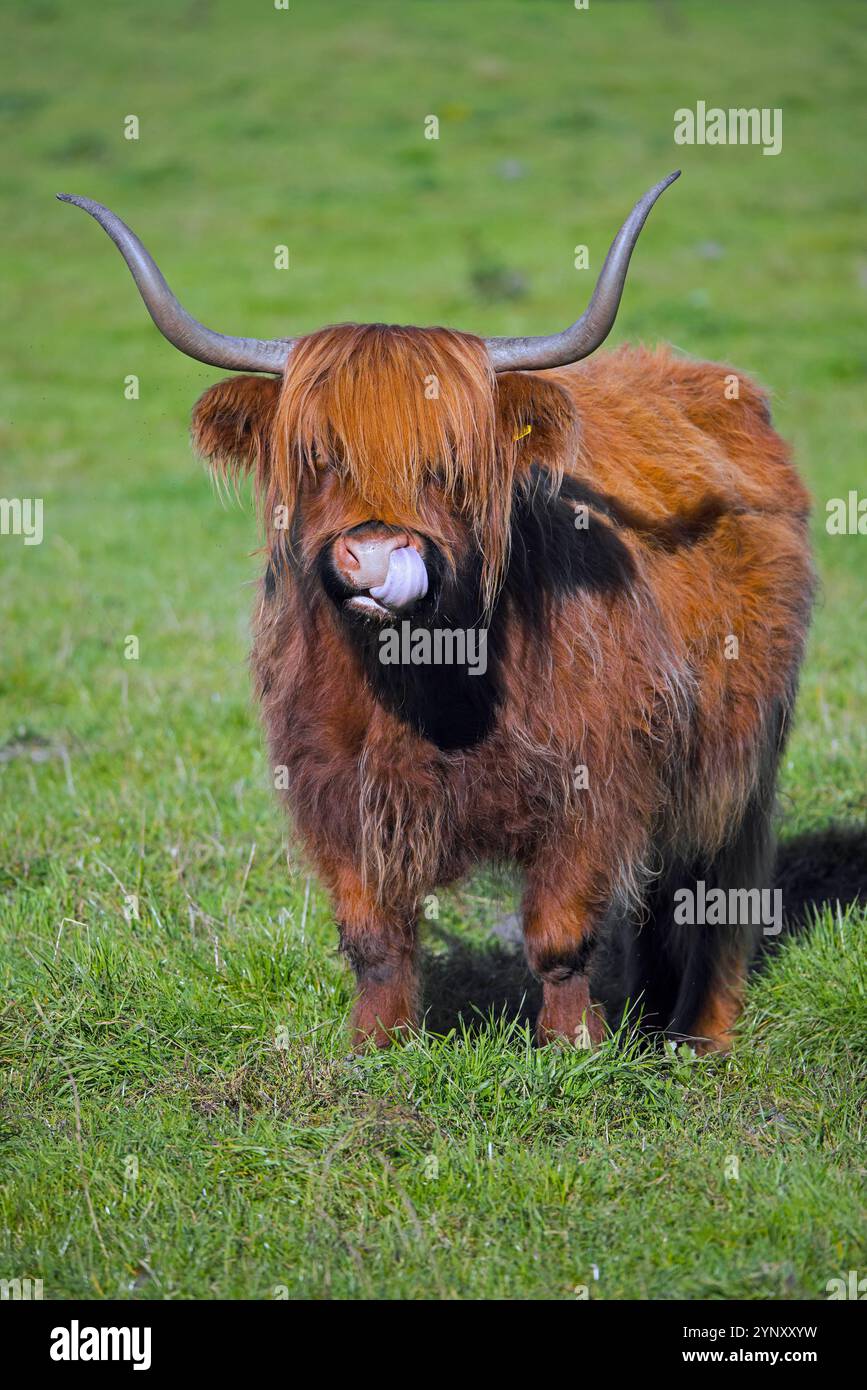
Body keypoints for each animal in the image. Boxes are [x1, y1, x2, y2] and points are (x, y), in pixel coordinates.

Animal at [59, 173, 814, 1053]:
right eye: (318, 456)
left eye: (447, 464)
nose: (374, 554)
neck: (426, 685)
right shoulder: (332, 785)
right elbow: (373, 934)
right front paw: (373, 1045)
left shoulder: (597, 780)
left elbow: (559, 932)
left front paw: (575, 1046)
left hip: (744, 754)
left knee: (717, 890)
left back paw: (699, 1034)